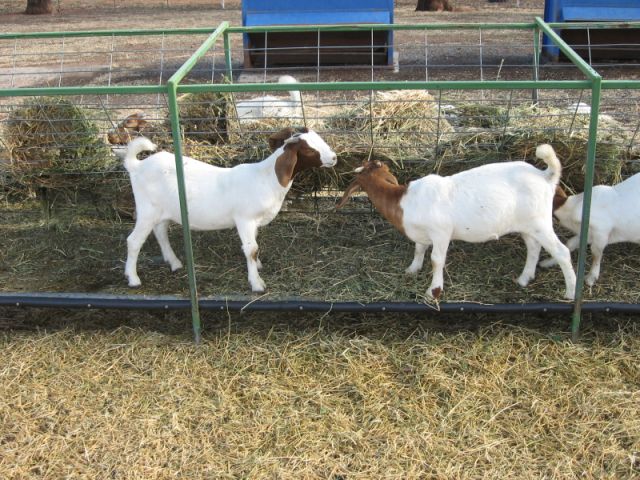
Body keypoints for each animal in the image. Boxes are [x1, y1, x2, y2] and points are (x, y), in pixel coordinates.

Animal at [123, 127, 337, 292]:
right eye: (309, 150)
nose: (334, 157)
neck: (266, 178)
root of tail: (137, 166)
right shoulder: (245, 218)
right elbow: (251, 249)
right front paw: (256, 283)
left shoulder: (253, 222)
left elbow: (255, 245)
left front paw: (258, 266)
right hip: (147, 209)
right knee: (134, 241)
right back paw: (133, 279)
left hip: (161, 210)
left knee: (160, 232)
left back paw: (174, 263)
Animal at [337, 144, 577, 300]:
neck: (404, 200)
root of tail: (546, 176)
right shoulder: (422, 234)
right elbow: (418, 250)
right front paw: (412, 269)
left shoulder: (441, 232)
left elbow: (436, 260)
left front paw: (433, 291)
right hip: (528, 225)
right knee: (534, 247)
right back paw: (524, 279)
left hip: (540, 222)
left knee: (562, 252)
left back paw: (570, 292)